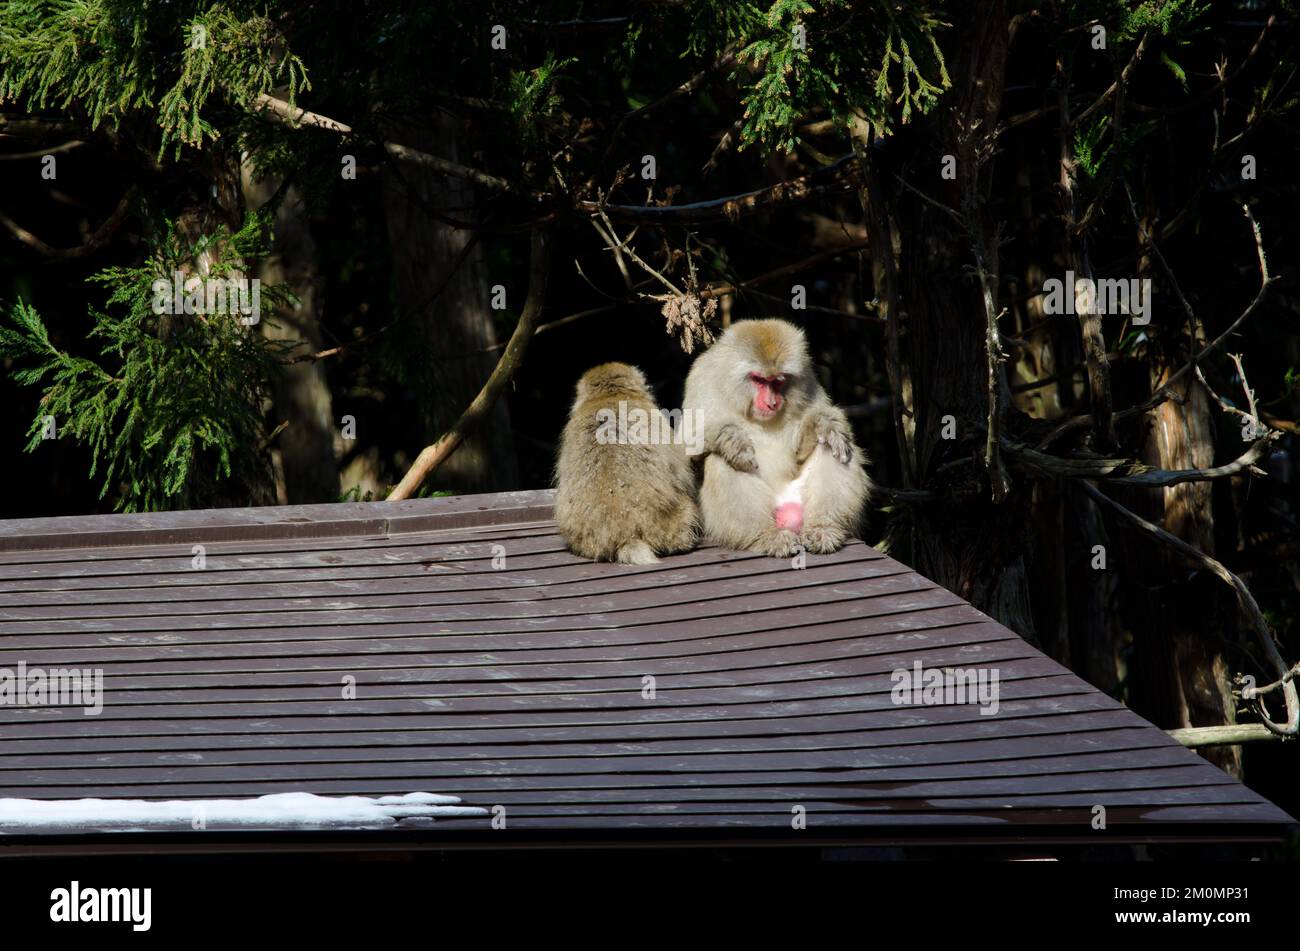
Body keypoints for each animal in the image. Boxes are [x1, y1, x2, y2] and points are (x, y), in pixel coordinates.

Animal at [681, 318, 870, 557]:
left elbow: (804, 451)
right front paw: (731, 438)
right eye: (759, 380)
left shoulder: (809, 383)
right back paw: (764, 535)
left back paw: (823, 528)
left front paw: (824, 424)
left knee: (832, 447)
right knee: (723, 460)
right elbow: (686, 455)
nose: (771, 403)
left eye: (778, 381)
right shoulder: (701, 382)